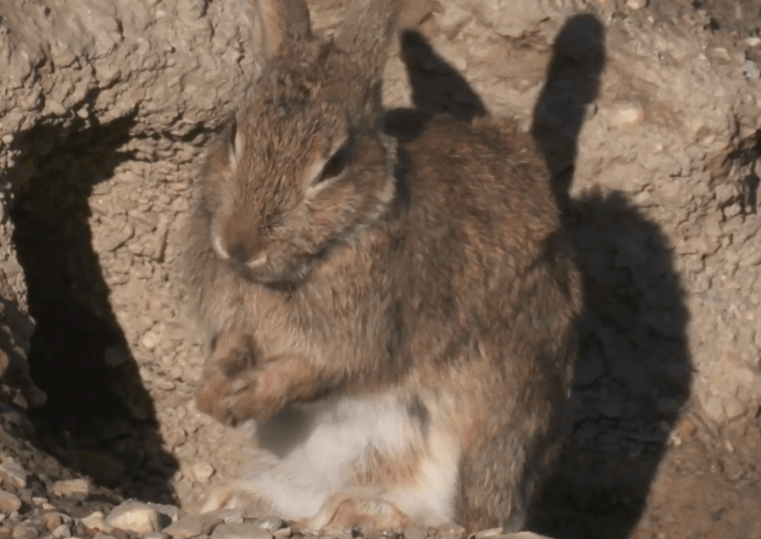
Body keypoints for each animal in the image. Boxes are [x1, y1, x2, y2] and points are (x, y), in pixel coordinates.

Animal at [182, 0, 583, 533]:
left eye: (334, 165)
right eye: (233, 134)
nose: (238, 245)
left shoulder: (364, 340)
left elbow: (313, 372)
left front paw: (244, 399)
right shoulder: (237, 323)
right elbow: (231, 348)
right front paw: (212, 394)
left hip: (467, 427)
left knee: (449, 514)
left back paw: (361, 509)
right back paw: (237, 499)